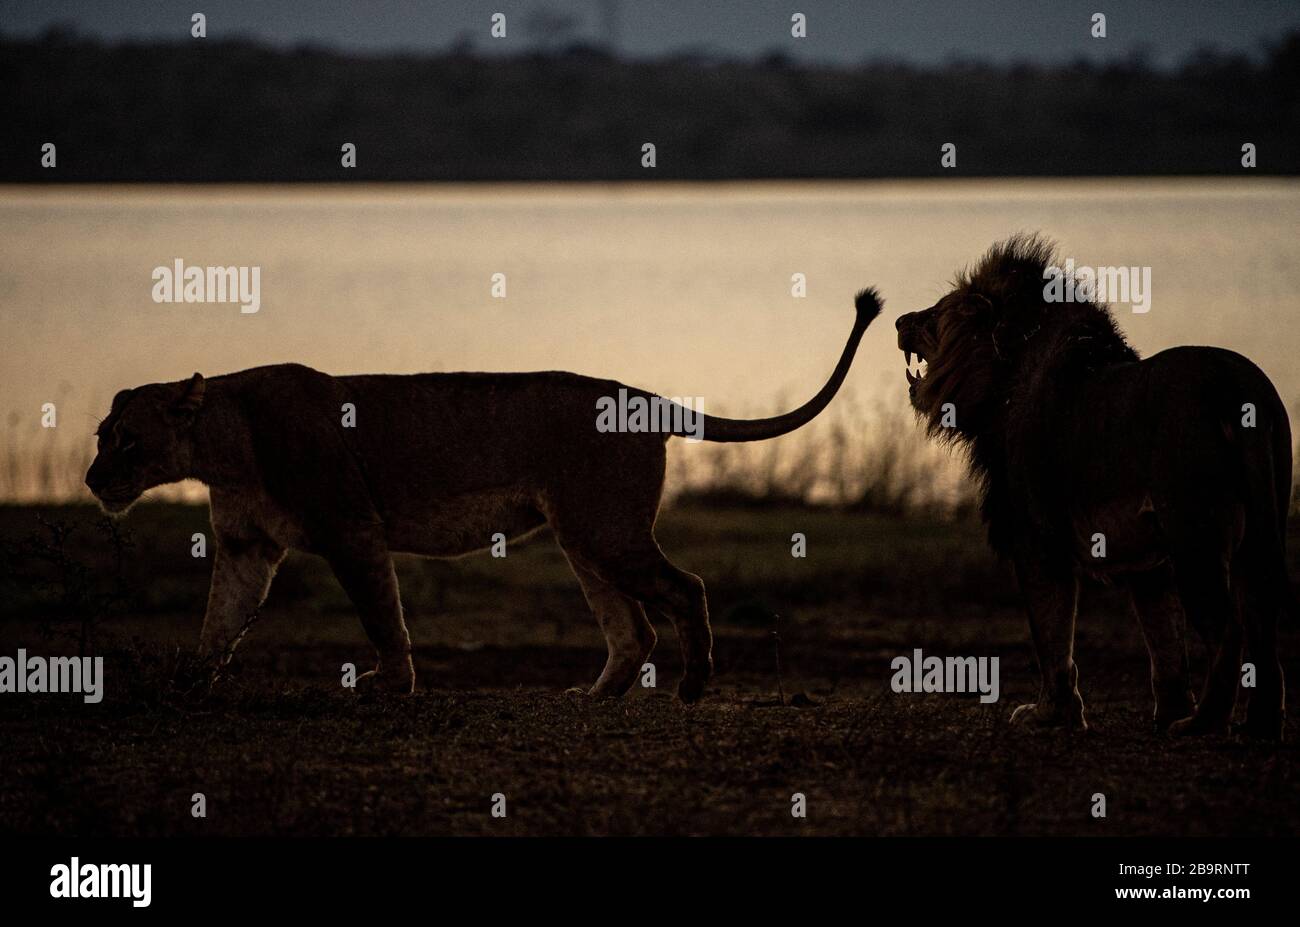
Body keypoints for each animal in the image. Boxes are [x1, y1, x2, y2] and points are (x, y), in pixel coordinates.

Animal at [85, 290, 882, 702]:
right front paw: (190, 679)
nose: (92, 479)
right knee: (634, 627)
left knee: (686, 587)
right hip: (584, 536)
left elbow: (381, 614)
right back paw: (596, 697)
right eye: (101, 435)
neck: (225, 446)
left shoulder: (351, 527)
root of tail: (641, 394)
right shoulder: (248, 544)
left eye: (127, 440)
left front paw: (392, 683)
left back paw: (693, 685)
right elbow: (219, 620)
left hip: (603, 531)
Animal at [894, 235, 1291, 738]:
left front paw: (1051, 714)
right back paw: (1258, 726)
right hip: (1258, 531)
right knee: (1262, 624)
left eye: (935, 314)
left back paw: (1203, 724)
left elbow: (1052, 634)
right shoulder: (1149, 561)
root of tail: (1237, 388)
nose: (898, 321)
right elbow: (1165, 644)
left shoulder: (1036, 537)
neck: (1001, 379)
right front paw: (1167, 712)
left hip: (1194, 535)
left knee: (1230, 630)